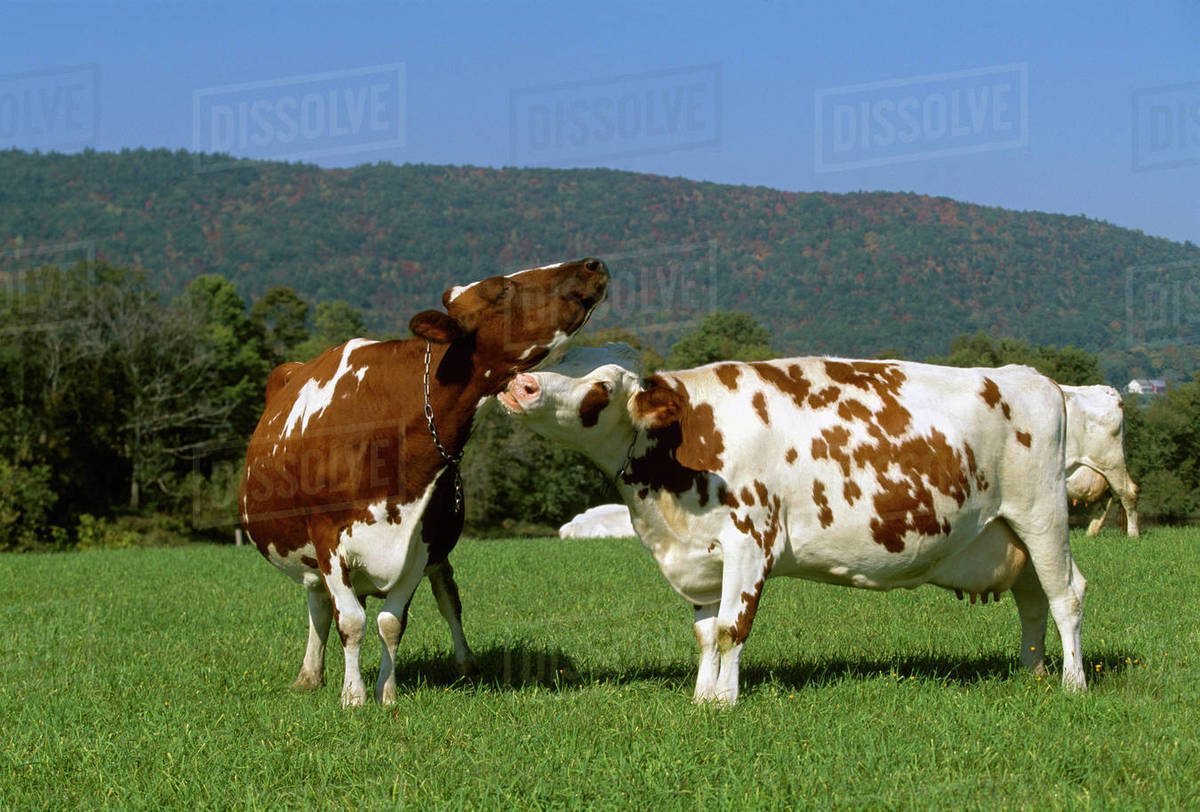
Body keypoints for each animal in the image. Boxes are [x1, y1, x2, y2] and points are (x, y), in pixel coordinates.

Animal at [239, 258, 610, 706]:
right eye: (501, 290)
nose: (591, 264)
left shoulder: (421, 540)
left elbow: (391, 622)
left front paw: (387, 692)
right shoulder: (327, 536)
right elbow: (351, 621)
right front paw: (353, 696)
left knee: (448, 596)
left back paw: (465, 665)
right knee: (319, 603)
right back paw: (309, 674)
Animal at [498, 344, 1087, 704]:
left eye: (600, 386)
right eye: (561, 353)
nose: (520, 383)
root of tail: (1030, 376)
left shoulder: (749, 543)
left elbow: (732, 630)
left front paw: (725, 703)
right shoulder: (700, 558)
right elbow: (706, 633)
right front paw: (701, 698)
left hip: (1042, 515)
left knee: (1066, 595)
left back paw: (1073, 683)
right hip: (1007, 534)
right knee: (1033, 600)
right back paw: (1033, 673)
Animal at [1061, 384, 1139, 537]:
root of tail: (1107, 390)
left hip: (1113, 463)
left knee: (1129, 493)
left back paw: (1133, 535)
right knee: (1107, 498)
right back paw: (1091, 532)